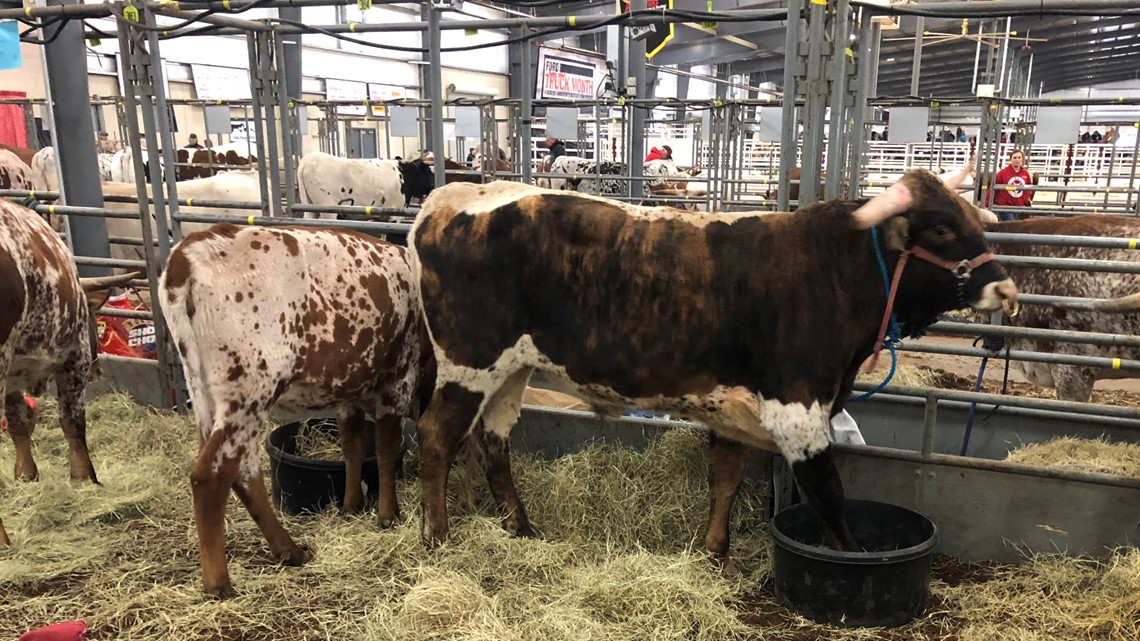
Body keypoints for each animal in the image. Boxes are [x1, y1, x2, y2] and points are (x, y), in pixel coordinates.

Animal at [0, 200, 140, 548]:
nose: (98, 369)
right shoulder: (74, 360)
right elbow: (73, 422)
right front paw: (85, 478)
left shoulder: (12, 374)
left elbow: (19, 422)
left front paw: (26, 474)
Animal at [159, 223, 435, 598]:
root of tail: (189, 251)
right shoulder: (398, 380)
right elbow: (386, 451)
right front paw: (389, 515)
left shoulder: (346, 390)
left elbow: (353, 447)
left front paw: (351, 506)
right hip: (249, 391)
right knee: (211, 475)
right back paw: (219, 583)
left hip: (205, 394)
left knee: (244, 472)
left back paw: (288, 550)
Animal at [296, 152, 434, 218]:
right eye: (430, 172)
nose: (434, 187)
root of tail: (305, 162)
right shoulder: (395, 210)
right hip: (328, 207)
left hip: (310, 206)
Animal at [407, 168, 1018, 567]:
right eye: (940, 229)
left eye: (973, 220)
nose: (1007, 290)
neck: (835, 271)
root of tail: (453, 194)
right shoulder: (798, 410)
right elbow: (828, 494)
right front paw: (851, 558)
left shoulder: (735, 407)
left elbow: (724, 478)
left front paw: (715, 554)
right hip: (470, 363)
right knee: (436, 435)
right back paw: (436, 536)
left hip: (511, 369)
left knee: (493, 440)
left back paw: (521, 526)